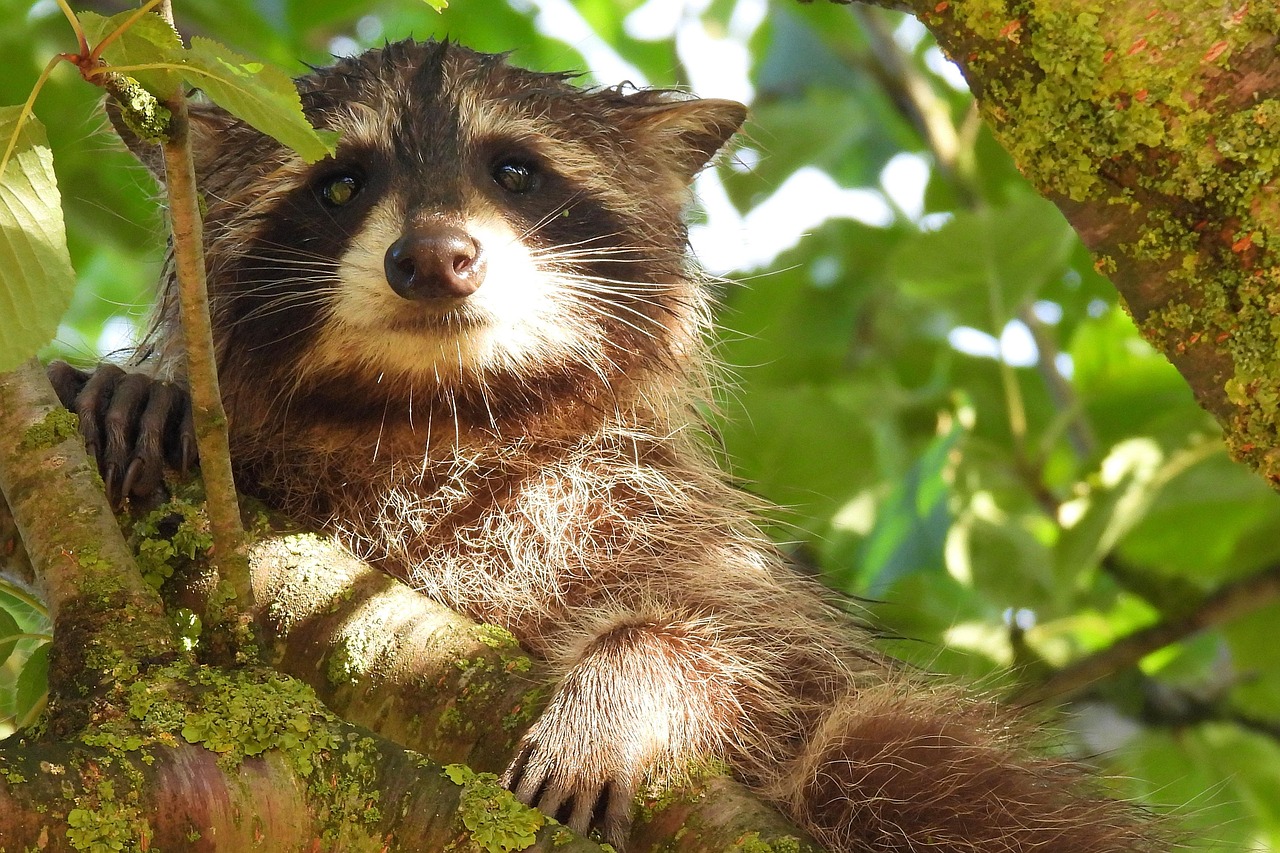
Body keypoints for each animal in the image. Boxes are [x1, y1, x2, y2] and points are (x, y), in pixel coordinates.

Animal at [51, 39, 1166, 852]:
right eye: (340, 185)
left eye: (513, 170)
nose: (434, 257)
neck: (436, 408)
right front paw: (140, 387)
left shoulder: (659, 512)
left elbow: (771, 660)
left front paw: (634, 674)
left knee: (908, 759)